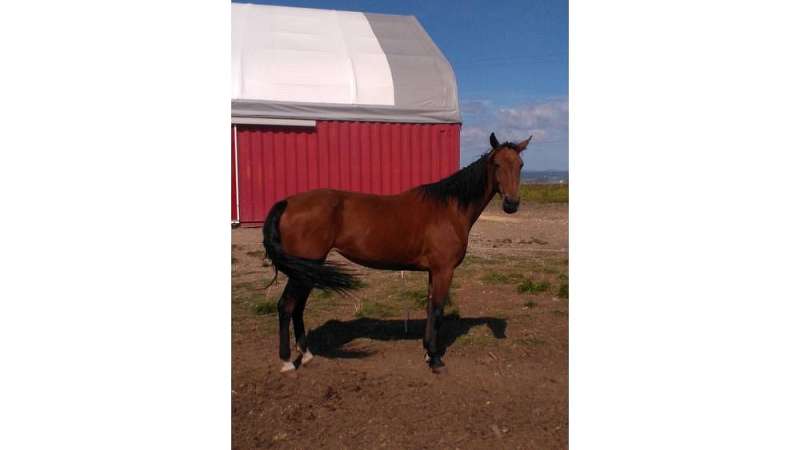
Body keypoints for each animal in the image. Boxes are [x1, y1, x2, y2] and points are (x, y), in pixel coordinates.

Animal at [262, 132, 531, 373]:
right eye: (496, 164)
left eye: (520, 165)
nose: (511, 204)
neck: (448, 209)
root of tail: (288, 203)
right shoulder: (444, 270)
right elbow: (437, 310)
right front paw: (435, 360)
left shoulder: (433, 271)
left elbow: (430, 308)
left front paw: (427, 352)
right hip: (305, 268)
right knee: (286, 306)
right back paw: (287, 362)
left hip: (309, 269)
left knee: (297, 307)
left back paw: (306, 354)